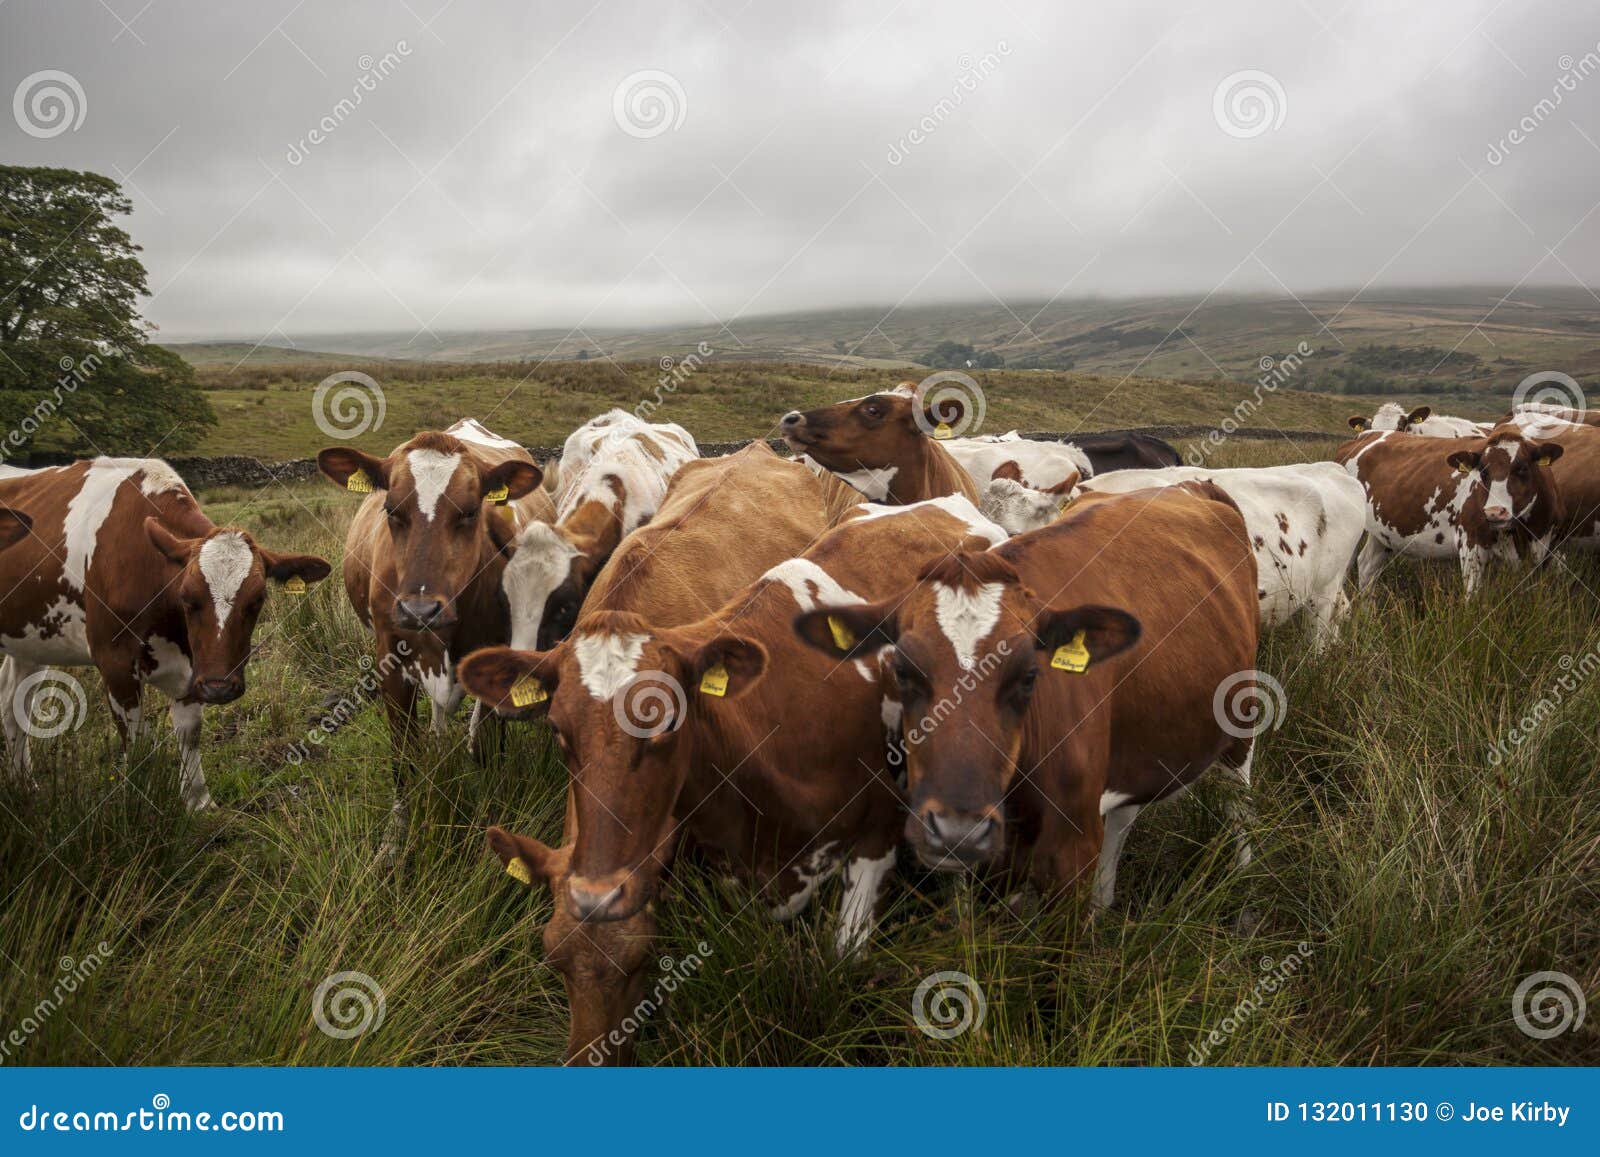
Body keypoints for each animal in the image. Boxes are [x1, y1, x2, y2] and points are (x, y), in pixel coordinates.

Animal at [0, 457, 330, 807]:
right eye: (187, 597)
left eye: (257, 600)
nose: (219, 687)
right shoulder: (115, 663)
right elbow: (137, 741)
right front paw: (140, 802)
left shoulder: (193, 664)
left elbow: (190, 731)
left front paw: (198, 801)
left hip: (31, 641)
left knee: (13, 701)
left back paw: (24, 785)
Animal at [316, 419, 547, 851]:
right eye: (391, 509)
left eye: (471, 511)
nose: (419, 611)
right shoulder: (388, 664)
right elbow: (403, 754)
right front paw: (394, 838)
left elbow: (489, 748)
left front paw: (490, 817)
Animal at [792, 482, 1259, 909]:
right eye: (902, 670)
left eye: (1030, 675)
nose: (959, 829)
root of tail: (1192, 484)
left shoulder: (1072, 850)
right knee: (1125, 815)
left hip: (1240, 717)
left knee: (1239, 801)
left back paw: (1243, 878)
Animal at [1336, 429, 1564, 595]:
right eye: (1483, 471)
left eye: (1523, 468)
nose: (1494, 512)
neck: (1520, 533)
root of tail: (1363, 435)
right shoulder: (1471, 544)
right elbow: (1473, 599)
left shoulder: (1540, 548)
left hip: (1382, 531)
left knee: (1367, 567)